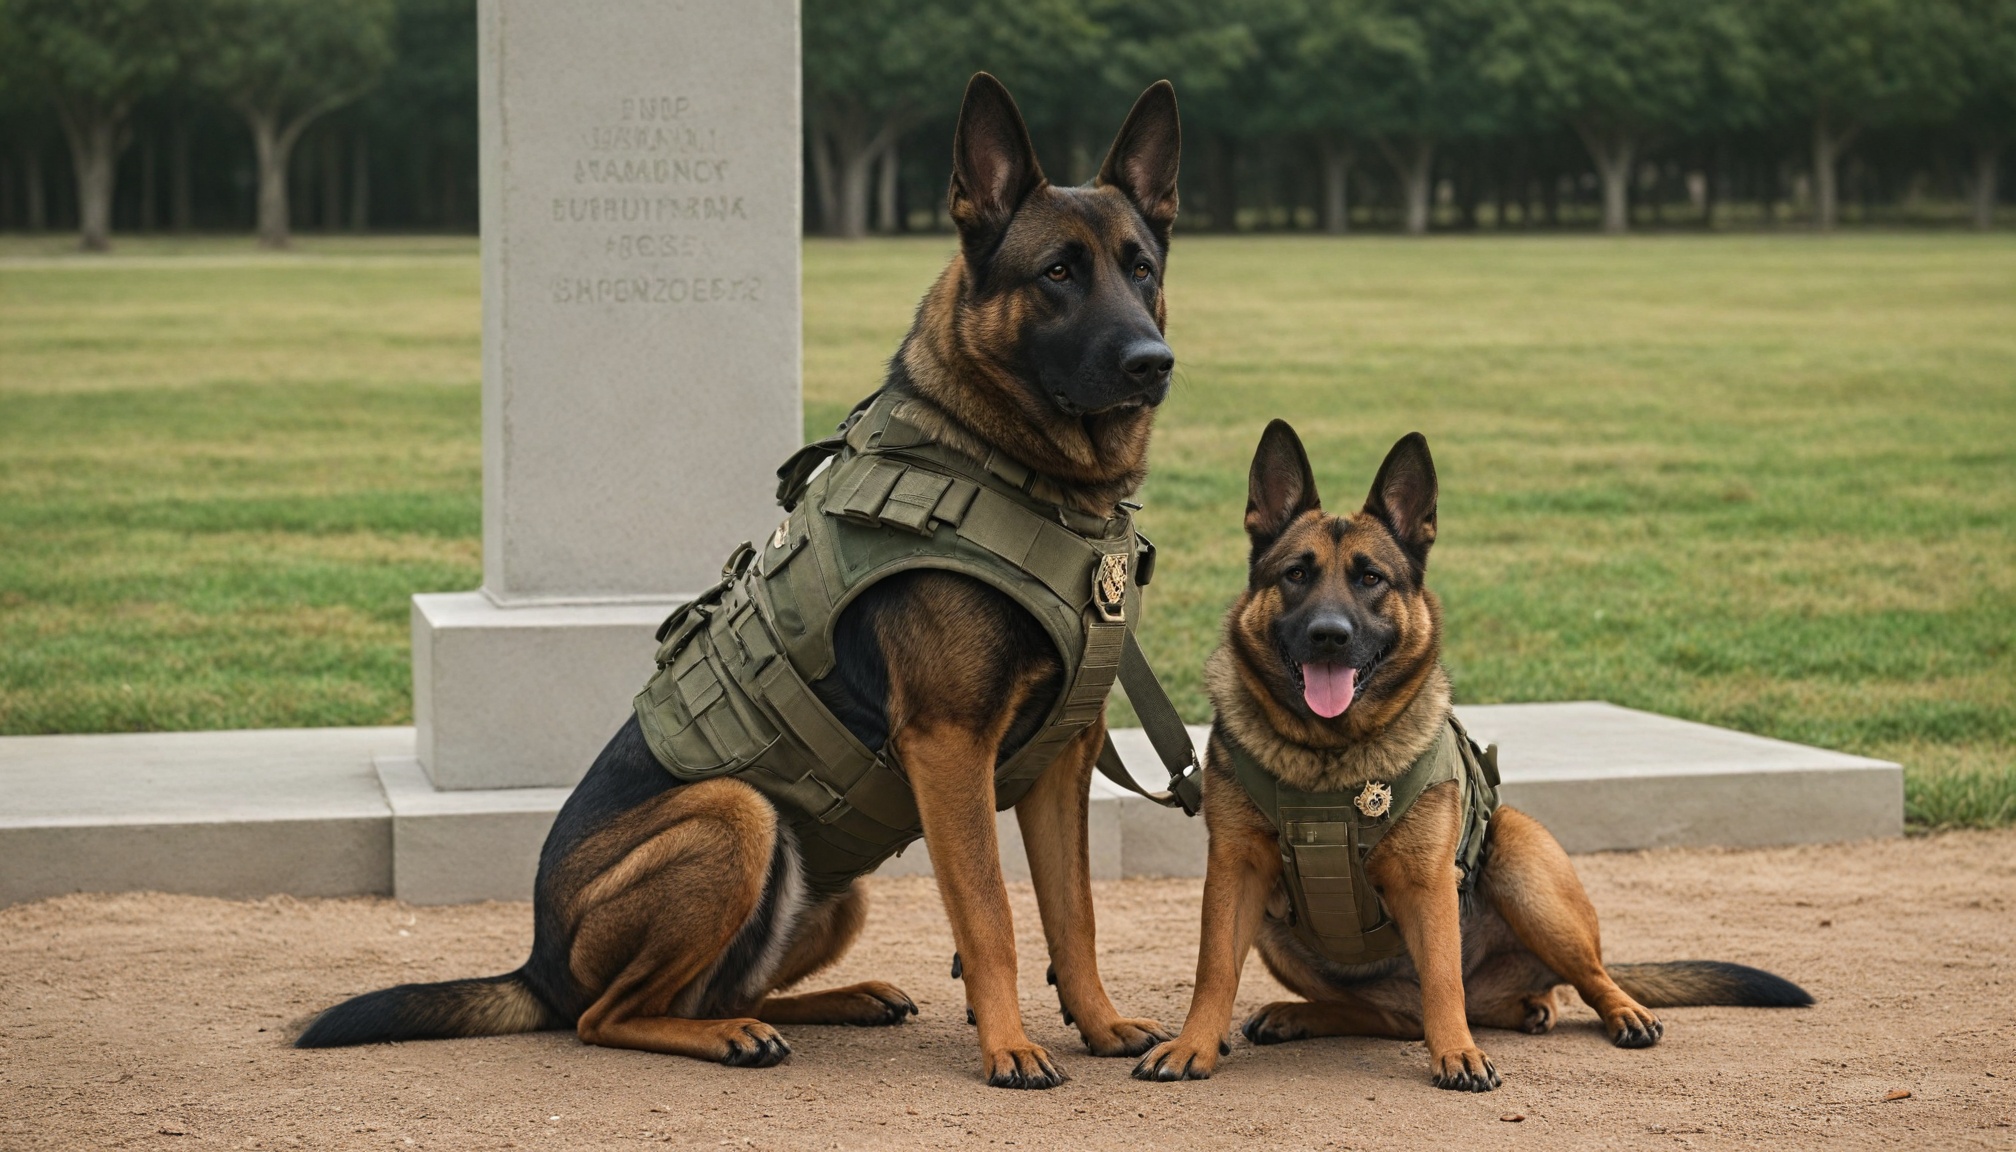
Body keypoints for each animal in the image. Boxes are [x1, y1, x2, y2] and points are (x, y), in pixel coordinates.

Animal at [296, 78, 1177, 1089]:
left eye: (1141, 268)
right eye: (1057, 274)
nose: (1153, 363)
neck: (1018, 473)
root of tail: (539, 960)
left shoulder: (1061, 762)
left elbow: (1075, 914)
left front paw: (1099, 1022)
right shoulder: (952, 748)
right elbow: (990, 914)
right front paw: (1010, 1046)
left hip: (834, 893)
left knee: (718, 991)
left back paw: (826, 1005)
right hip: (737, 815)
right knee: (608, 1015)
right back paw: (725, 1037)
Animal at [1137, 421, 1814, 1089]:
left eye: (1371, 579)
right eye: (1296, 575)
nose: (1330, 635)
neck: (1327, 757)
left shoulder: (1427, 882)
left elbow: (1443, 977)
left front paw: (1458, 1053)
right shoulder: (1236, 873)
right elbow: (1214, 970)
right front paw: (1193, 1045)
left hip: (1523, 866)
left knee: (1581, 978)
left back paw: (1621, 1012)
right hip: (1278, 932)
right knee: (1392, 1016)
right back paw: (1301, 1014)